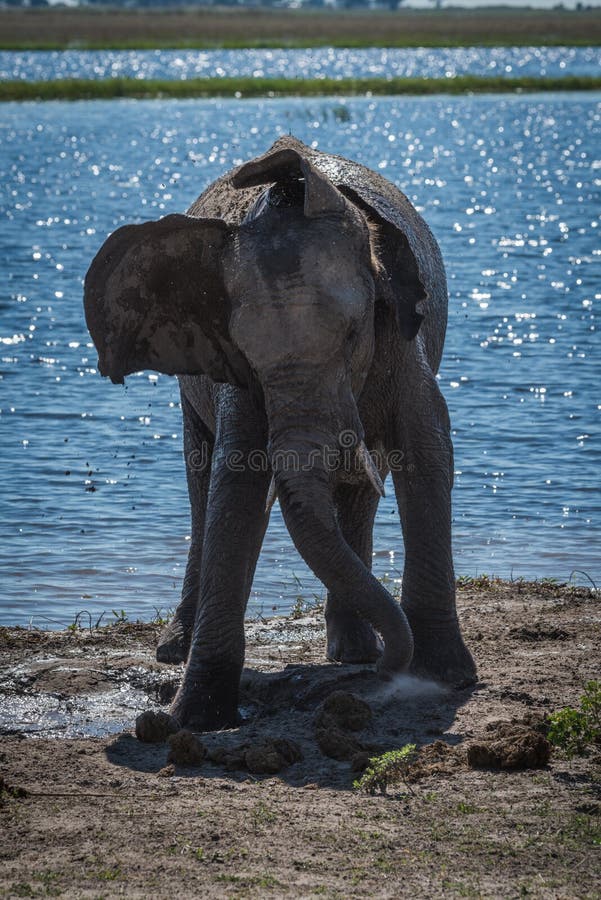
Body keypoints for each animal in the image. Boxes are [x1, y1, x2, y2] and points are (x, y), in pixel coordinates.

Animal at [84, 135, 476, 731]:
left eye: (353, 333)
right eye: (244, 350)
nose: (390, 669)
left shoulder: (402, 346)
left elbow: (427, 453)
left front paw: (444, 679)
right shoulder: (235, 373)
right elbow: (235, 486)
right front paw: (193, 719)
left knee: (361, 490)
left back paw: (354, 653)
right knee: (201, 483)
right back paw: (177, 650)